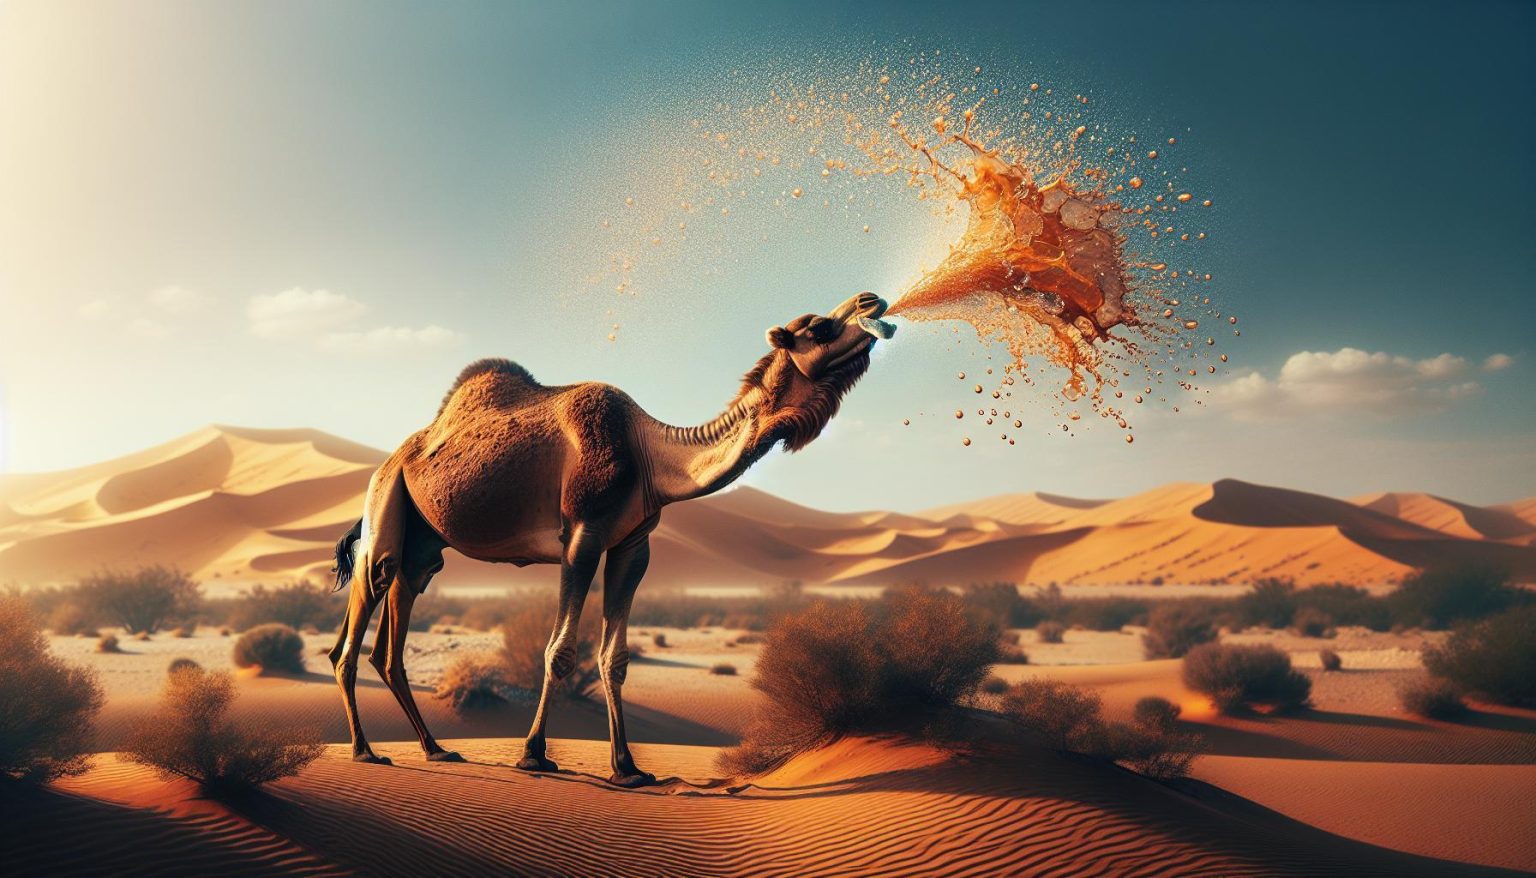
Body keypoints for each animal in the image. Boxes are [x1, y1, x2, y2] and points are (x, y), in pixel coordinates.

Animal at [328, 291, 895, 786]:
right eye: (819, 327)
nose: (873, 300)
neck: (651, 455)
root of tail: (392, 458)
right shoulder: (582, 535)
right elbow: (560, 651)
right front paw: (534, 755)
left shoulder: (632, 547)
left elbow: (615, 659)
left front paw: (628, 768)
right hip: (385, 502)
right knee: (359, 616)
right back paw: (365, 750)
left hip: (423, 550)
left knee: (392, 640)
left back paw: (435, 748)